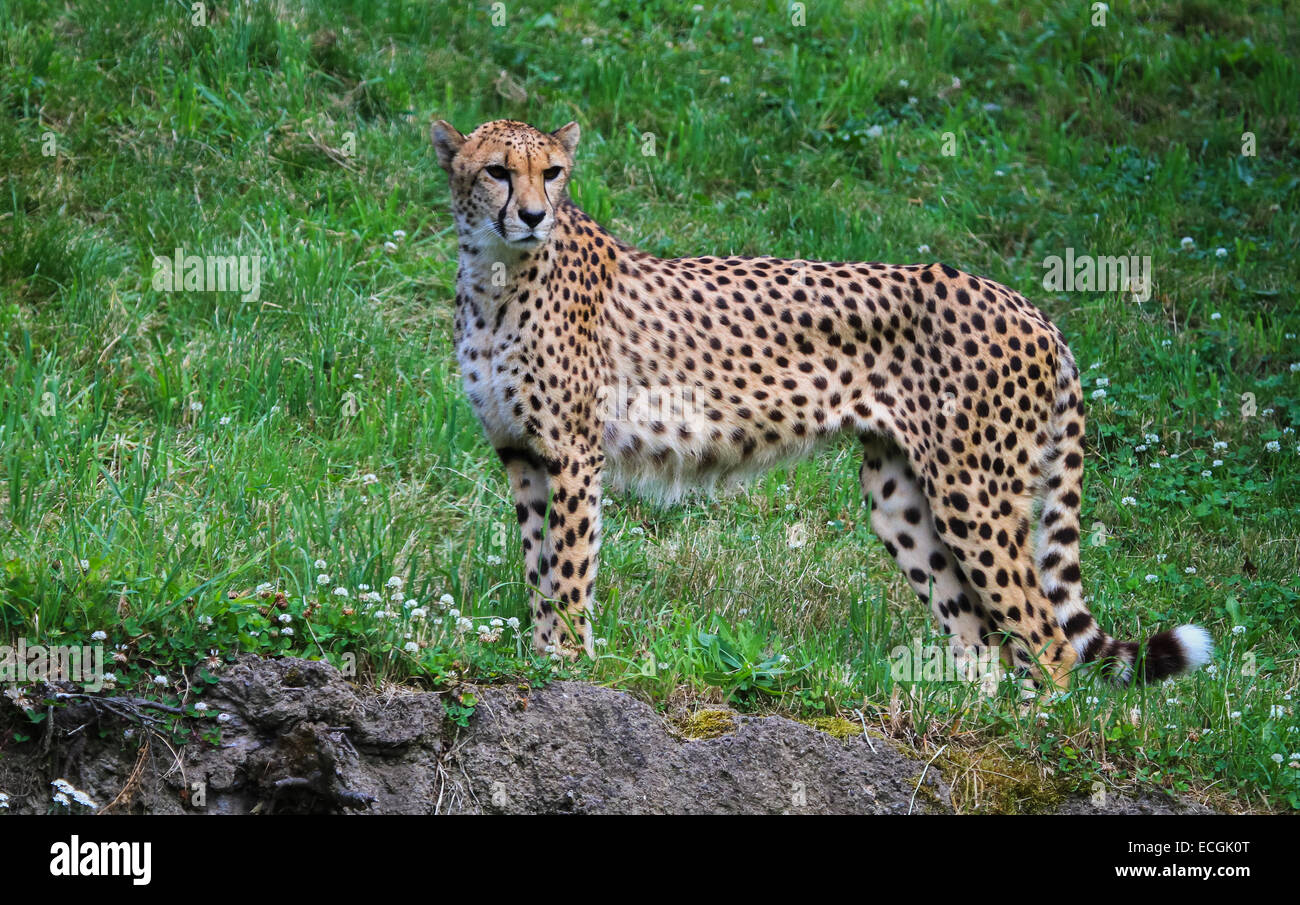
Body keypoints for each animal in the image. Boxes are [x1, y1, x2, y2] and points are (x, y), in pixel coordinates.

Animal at [432, 117, 1212, 690]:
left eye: (551, 172)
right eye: (497, 171)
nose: (534, 215)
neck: (496, 274)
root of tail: (1030, 306)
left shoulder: (571, 454)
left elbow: (566, 568)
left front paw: (566, 664)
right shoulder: (521, 453)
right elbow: (536, 565)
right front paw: (538, 656)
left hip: (974, 493)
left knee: (1045, 637)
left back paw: (1032, 726)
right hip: (902, 497)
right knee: (980, 634)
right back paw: (969, 714)